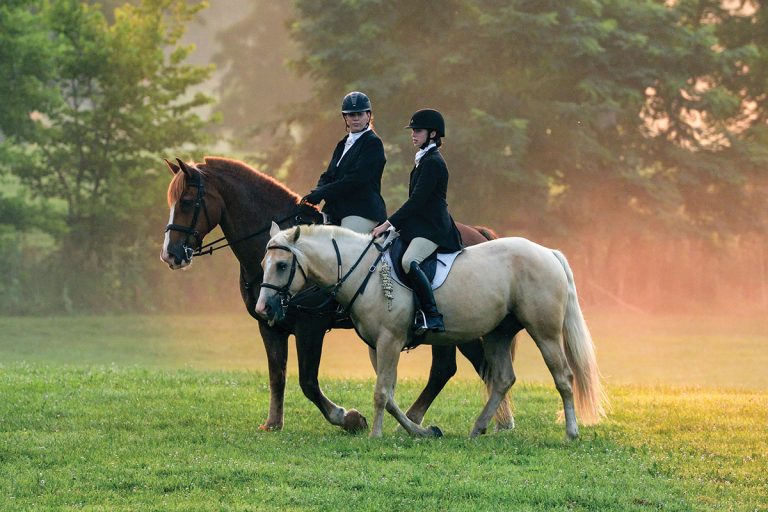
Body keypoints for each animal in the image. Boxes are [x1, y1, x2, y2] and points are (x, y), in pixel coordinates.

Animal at [160, 156, 514, 433]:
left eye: (188, 202)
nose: (171, 255)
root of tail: (475, 233)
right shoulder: (269, 325)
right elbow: (277, 375)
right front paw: (273, 423)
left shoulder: (310, 327)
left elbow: (307, 381)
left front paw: (348, 418)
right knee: (452, 369)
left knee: (465, 368)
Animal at [255, 224, 607, 439]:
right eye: (262, 263)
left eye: (282, 266)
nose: (263, 309)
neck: (364, 270)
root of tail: (548, 252)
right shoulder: (377, 345)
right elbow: (389, 394)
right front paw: (421, 431)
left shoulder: (390, 340)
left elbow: (381, 392)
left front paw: (374, 434)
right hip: (498, 333)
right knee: (503, 378)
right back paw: (479, 428)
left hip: (544, 332)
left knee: (563, 377)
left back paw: (571, 432)